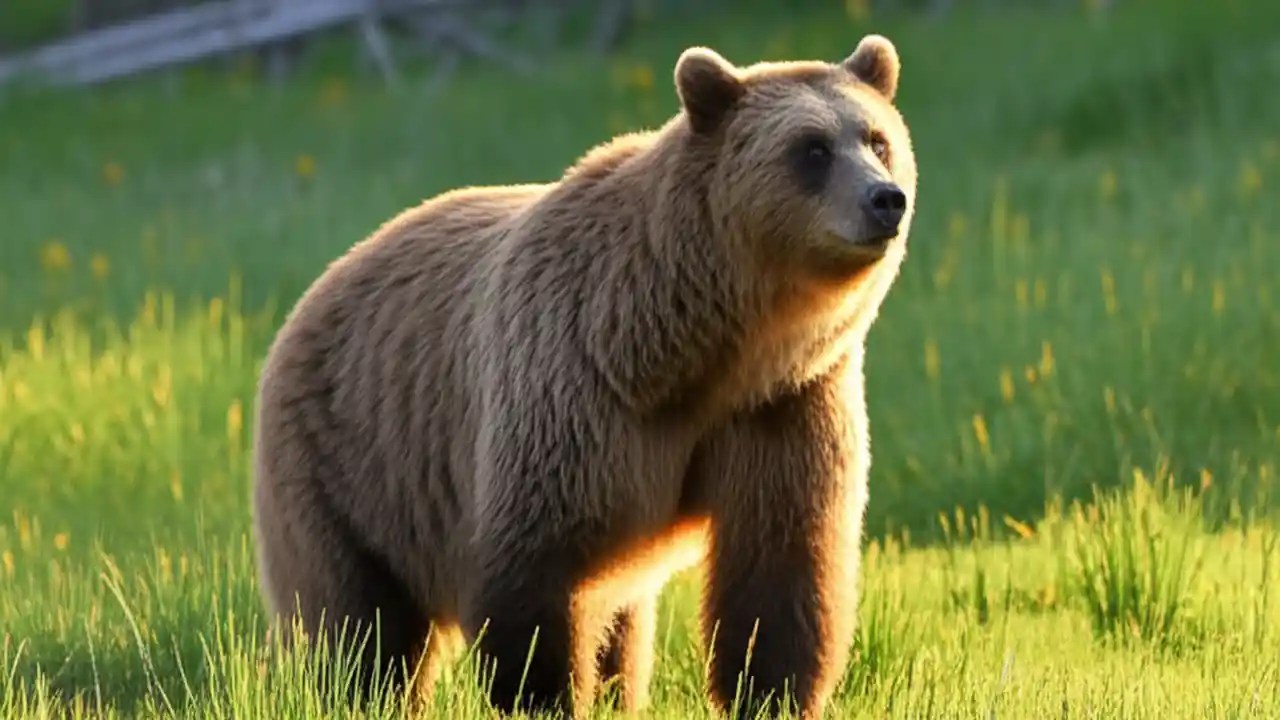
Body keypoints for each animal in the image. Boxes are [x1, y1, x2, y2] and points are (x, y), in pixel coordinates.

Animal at [251, 33, 917, 719]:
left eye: (877, 139)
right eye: (811, 148)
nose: (885, 199)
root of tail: (314, 292)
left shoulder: (783, 405)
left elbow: (780, 573)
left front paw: (770, 693)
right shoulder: (572, 388)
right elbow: (537, 572)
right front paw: (545, 693)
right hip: (350, 466)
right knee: (352, 624)